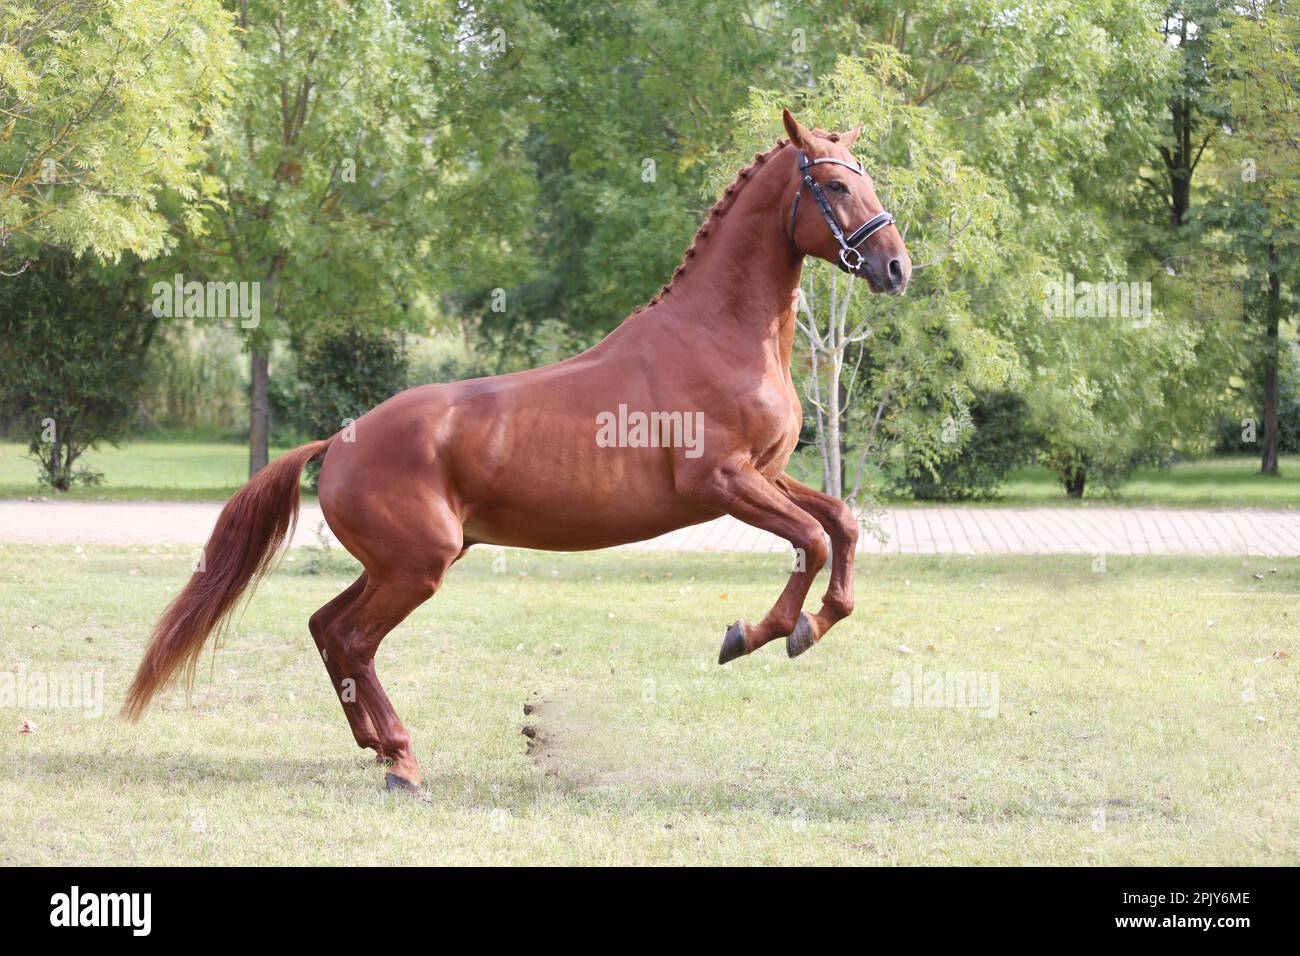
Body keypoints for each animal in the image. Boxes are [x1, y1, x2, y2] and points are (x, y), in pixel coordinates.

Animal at [123, 109, 912, 791]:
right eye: (835, 185)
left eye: (867, 177)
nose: (897, 267)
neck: (718, 336)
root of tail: (338, 443)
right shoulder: (721, 483)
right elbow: (811, 537)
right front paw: (756, 633)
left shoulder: (767, 474)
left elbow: (840, 522)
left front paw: (814, 622)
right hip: (416, 568)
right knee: (350, 638)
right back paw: (402, 760)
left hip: (398, 564)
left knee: (325, 627)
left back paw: (376, 744)